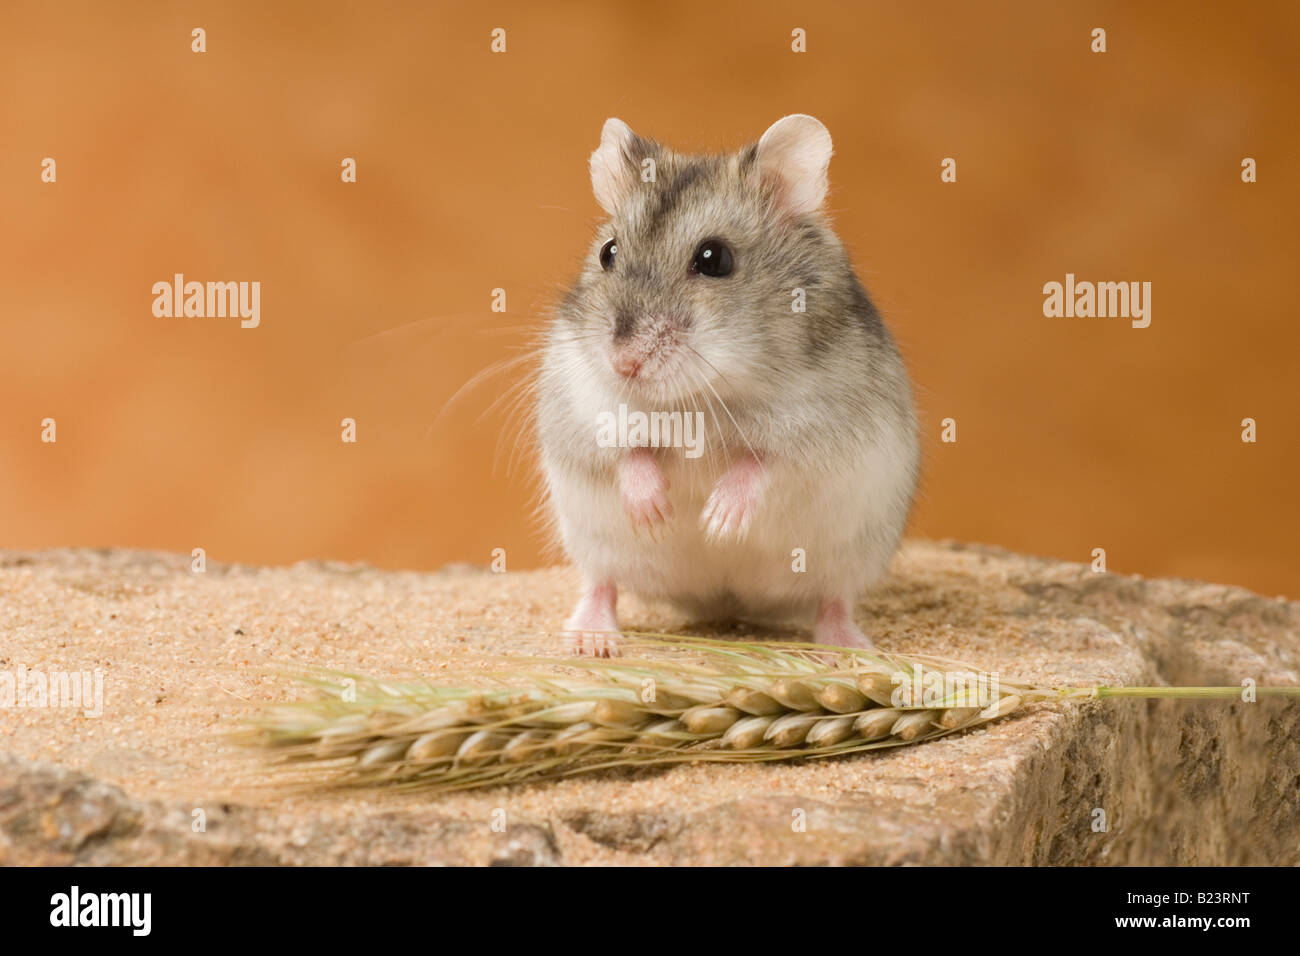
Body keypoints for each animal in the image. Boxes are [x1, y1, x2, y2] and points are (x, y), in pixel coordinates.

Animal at [537, 114, 919, 656]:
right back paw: (593, 640)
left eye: (714, 259)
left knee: (833, 601)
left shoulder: (825, 430)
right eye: (608, 253)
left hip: (853, 554)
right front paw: (656, 511)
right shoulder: (582, 405)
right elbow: (626, 452)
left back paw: (848, 648)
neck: (696, 398)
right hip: (591, 539)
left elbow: (762, 463)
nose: (624, 363)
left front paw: (717, 521)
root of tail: (725, 601)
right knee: (600, 583)